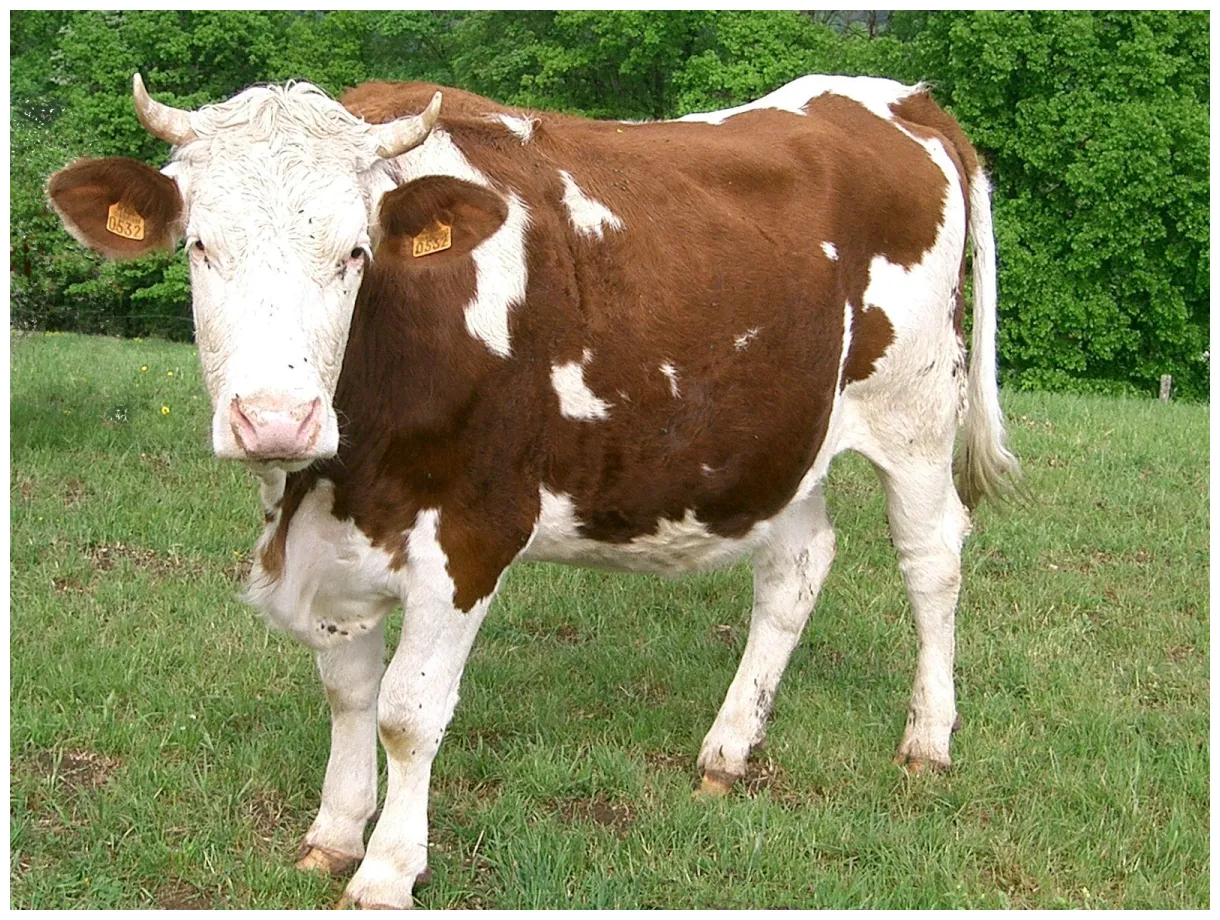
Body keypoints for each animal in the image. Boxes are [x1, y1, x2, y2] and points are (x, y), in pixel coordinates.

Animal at [49, 72, 1022, 908]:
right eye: (200, 245)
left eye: (355, 252)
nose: (276, 419)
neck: (333, 477)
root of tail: (901, 97)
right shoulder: (338, 539)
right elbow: (349, 693)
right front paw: (333, 833)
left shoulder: (474, 528)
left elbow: (406, 712)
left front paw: (387, 871)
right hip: (776, 444)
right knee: (797, 569)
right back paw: (728, 750)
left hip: (916, 411)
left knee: (932, 561)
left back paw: (927, 741)